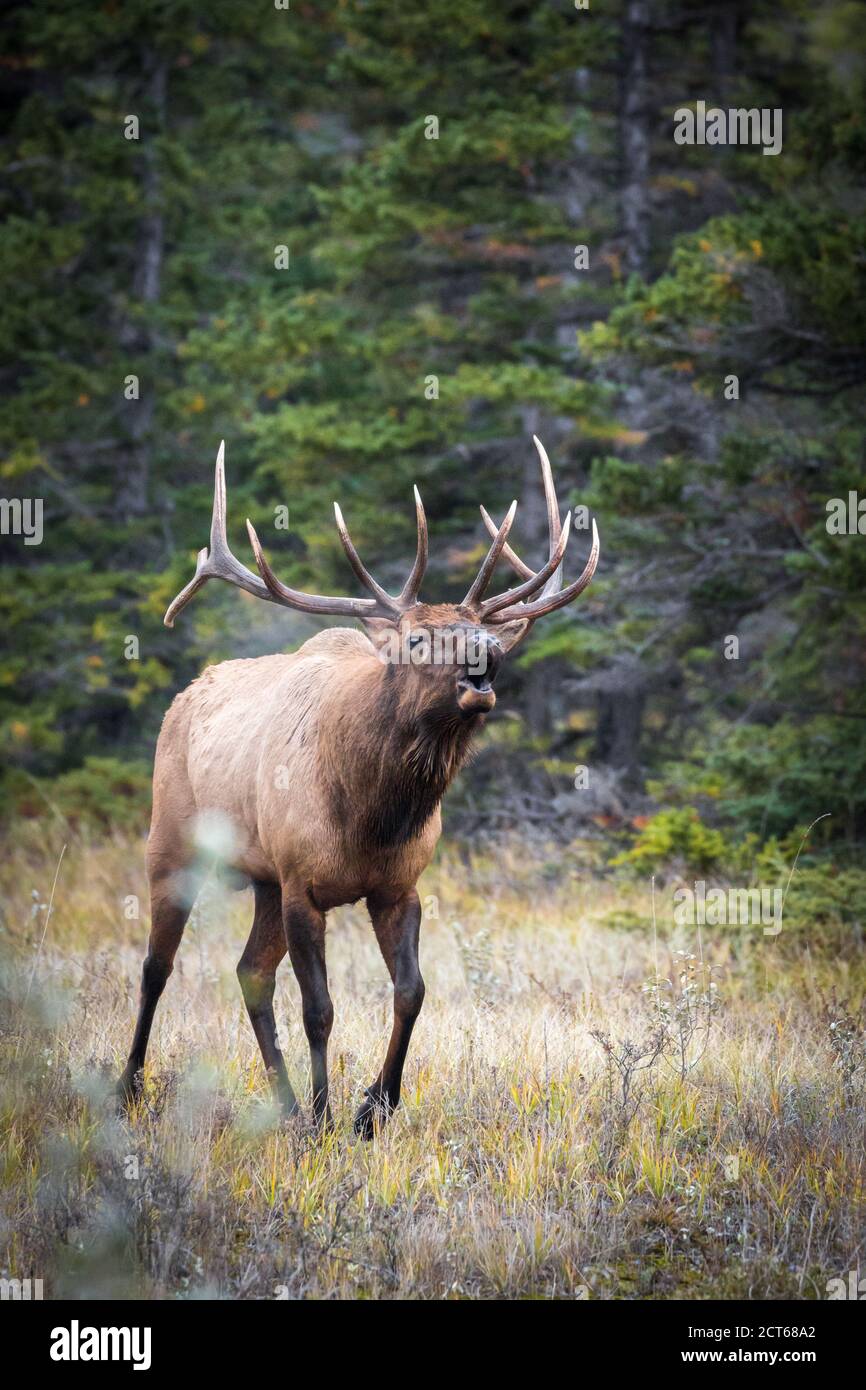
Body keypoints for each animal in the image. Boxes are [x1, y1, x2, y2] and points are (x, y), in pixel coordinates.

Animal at [119, 437, 599, 1137]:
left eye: (479, 632)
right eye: (419, 637)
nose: (486, 657)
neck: (370, 815)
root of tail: (182, 697)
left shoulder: (397, 885)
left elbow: (412, 991)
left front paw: (373, 1106)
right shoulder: (302, 883)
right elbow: (320, 1008)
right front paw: (326, 1118)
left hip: (262, 879)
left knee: (249, 972)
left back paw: (285, 1103)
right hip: (172, 842)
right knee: (157, 968)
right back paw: (129, 1088)